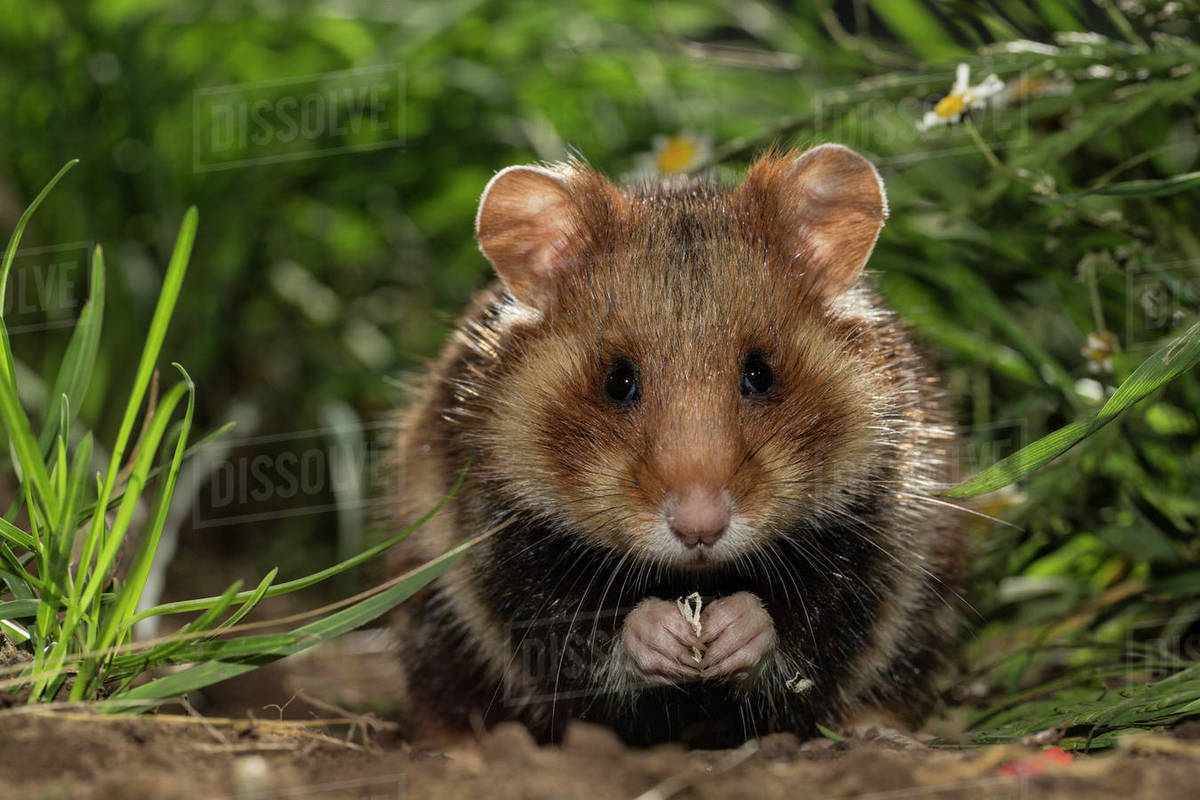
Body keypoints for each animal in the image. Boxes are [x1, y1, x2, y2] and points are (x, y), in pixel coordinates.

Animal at [392, 144, 966, 747]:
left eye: (761, 373)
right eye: (617, 381)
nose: (700, 529)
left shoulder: (875, 526)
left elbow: (813, 624)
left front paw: (731, 630)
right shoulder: (502, 540)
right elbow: (571, 634)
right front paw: (665, 635)